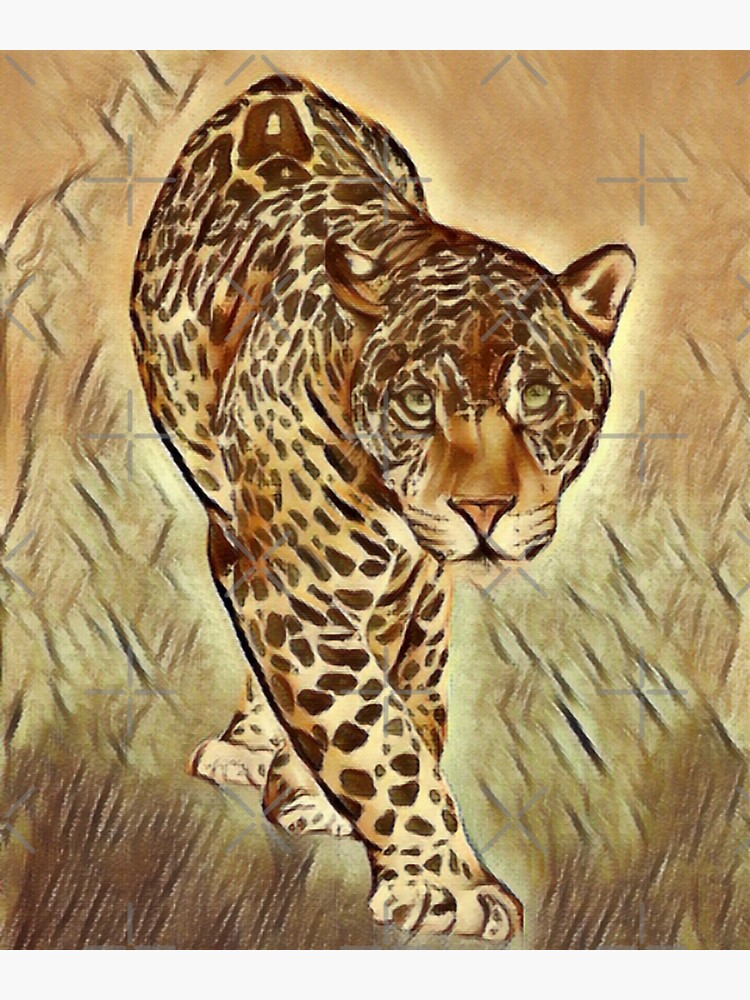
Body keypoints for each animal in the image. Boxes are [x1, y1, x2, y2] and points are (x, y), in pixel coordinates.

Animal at [130, 73, 635, 943]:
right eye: (415, 402)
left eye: (537, 395)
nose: (482, 510)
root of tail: (277, 82)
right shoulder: (293, 585)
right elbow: (373, 737)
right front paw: (447, 888)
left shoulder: (394, 584)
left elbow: (384, 705)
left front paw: (323, 799)